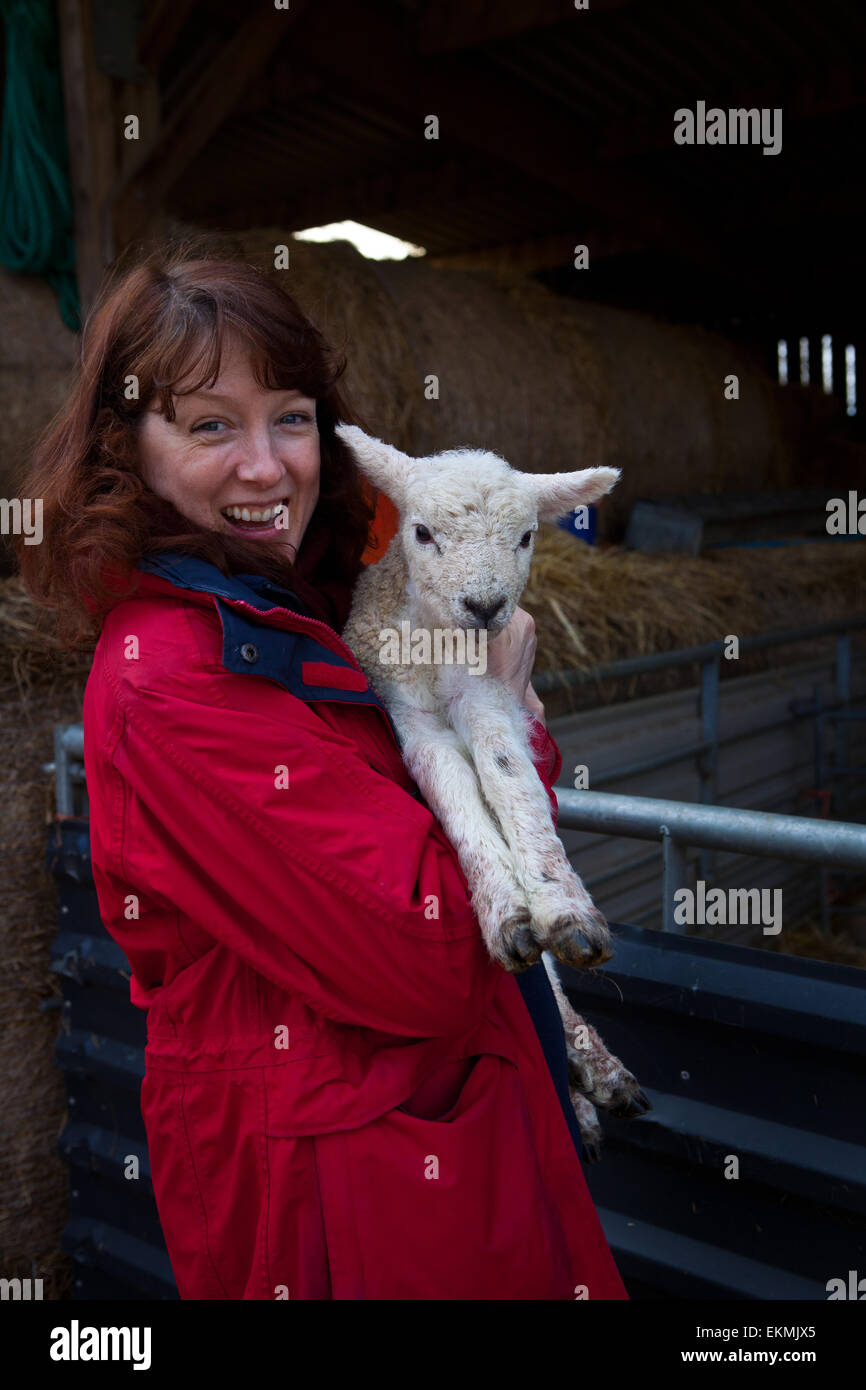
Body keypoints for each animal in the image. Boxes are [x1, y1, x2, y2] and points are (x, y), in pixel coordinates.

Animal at [337, 425, 650, 1157]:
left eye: (528, 536)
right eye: (421, 532)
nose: (484, 606)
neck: (432, 648)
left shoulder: (485, 692)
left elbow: (511, 780)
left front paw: (564, 911)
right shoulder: (410, 718)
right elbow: (455, 794)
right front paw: (507, 914)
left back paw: (599, 1077)